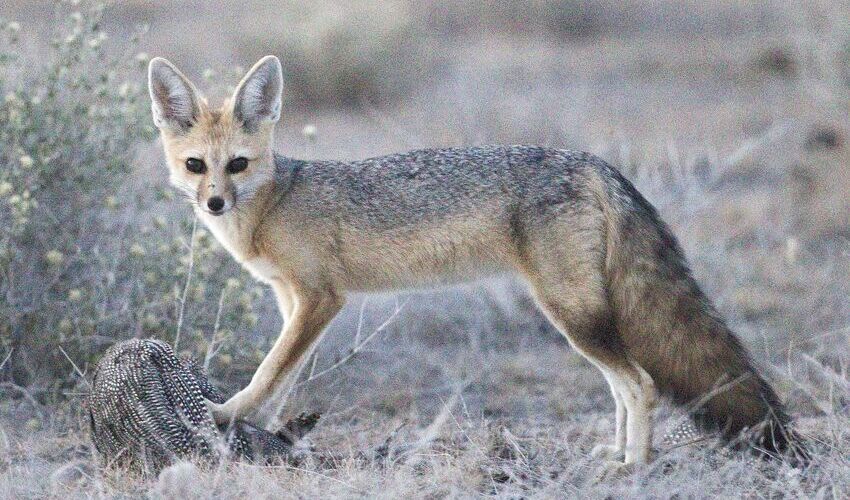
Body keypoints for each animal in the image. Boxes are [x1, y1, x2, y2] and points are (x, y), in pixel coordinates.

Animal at [147, 55, 805, 466]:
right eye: (195, 165)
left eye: (237, 164)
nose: (213, 202)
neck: (272, 203)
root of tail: (594, 162)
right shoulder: (293, 301)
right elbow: (286, 374)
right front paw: (270, 428)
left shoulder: (319, 299)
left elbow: (267, 371)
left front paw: (227, 413)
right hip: (583, 317)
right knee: (624, 386)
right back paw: (618, 453)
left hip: (570, 315)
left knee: (640, 384)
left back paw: (633, 468)